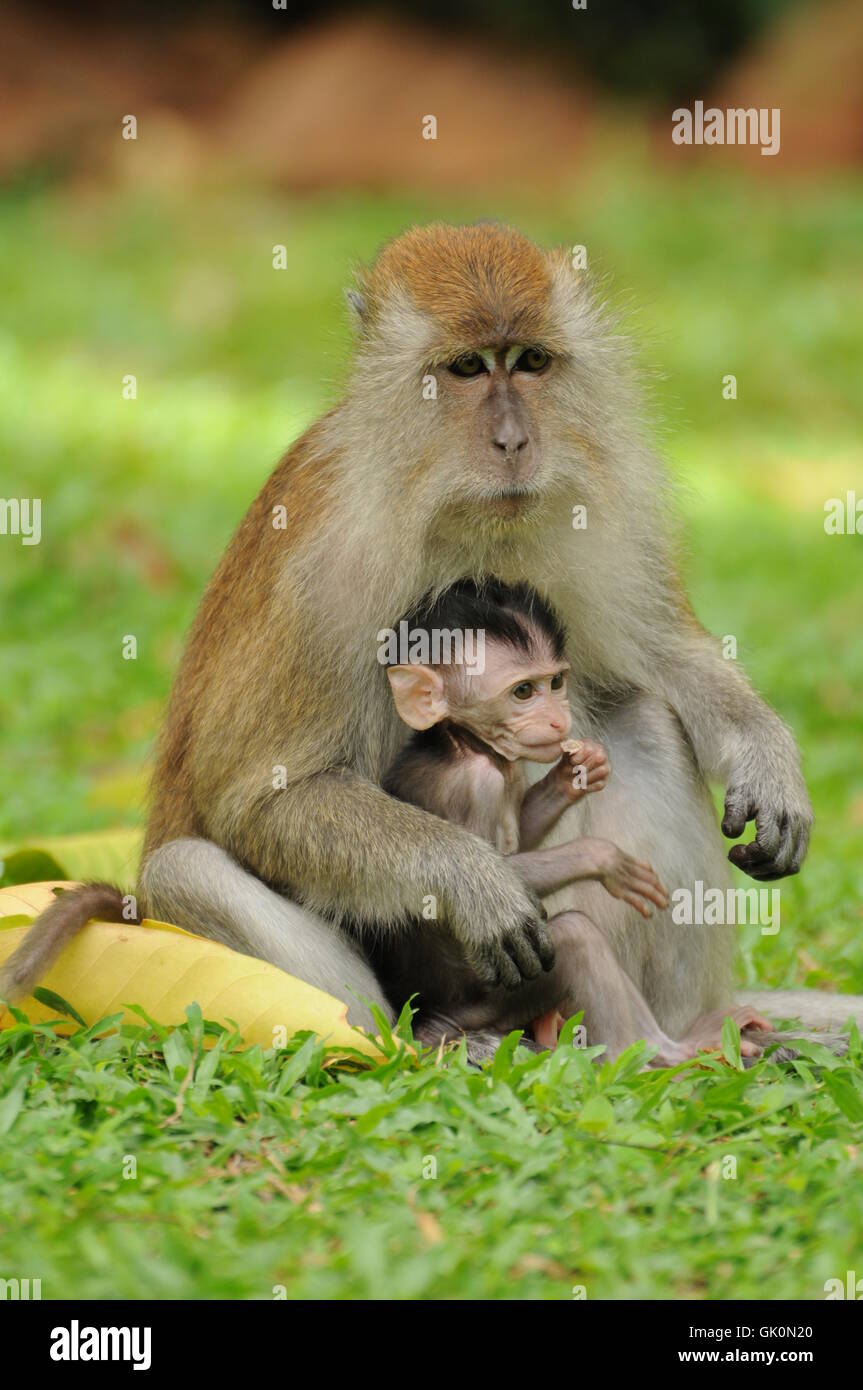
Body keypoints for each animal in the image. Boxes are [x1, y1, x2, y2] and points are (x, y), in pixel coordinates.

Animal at [372, 576, 772, 1064]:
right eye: (524, 692)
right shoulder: (476, 784)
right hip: (490, 999)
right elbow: (495, 871)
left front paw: (573, 776)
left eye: (556, 682)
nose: (557, 719)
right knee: (574, 937)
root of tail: (427, 1018)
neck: (463, 742)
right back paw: (642, 1056)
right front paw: (603, 858)